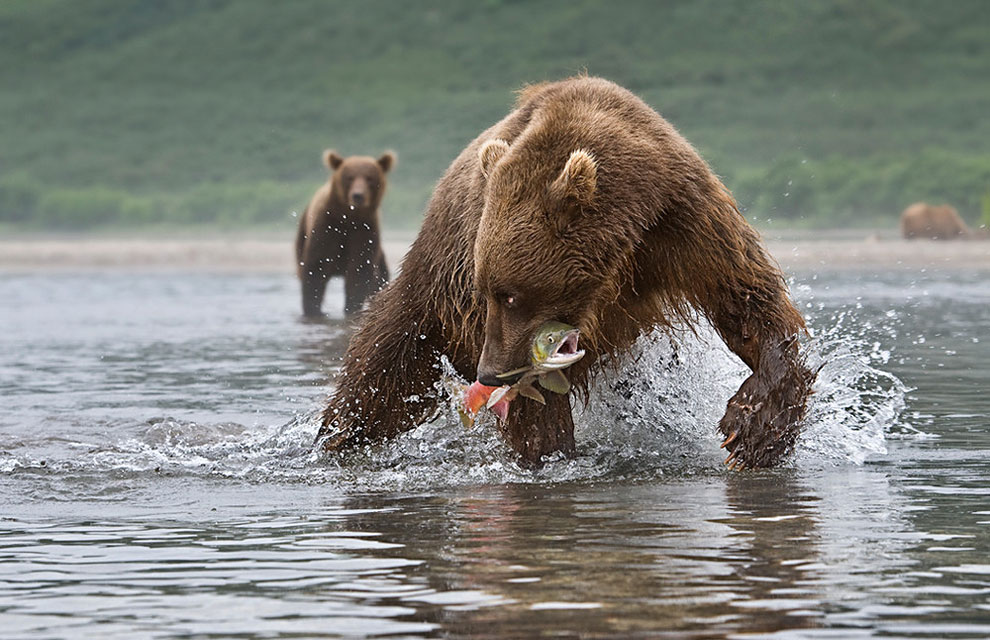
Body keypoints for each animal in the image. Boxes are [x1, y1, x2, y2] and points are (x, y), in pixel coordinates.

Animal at [295, 150, 395, 316]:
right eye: (349, 177)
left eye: (369, 178)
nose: (358, 196)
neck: (348, 217)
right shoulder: (327, 227)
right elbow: (315, 268)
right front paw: (313, 309)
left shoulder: (364, 230)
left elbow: (359, 270)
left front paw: (351, 308)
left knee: (380, 278)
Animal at [316, 76, 815, 470]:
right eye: (486, 290)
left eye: (510, 294)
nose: (489, 373)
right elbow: (535, 403)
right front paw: (548, 448)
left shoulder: (681, 221)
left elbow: (747, 301)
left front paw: (751, 429)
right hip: (424, 300)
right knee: (377, 381)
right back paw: (334, 441)